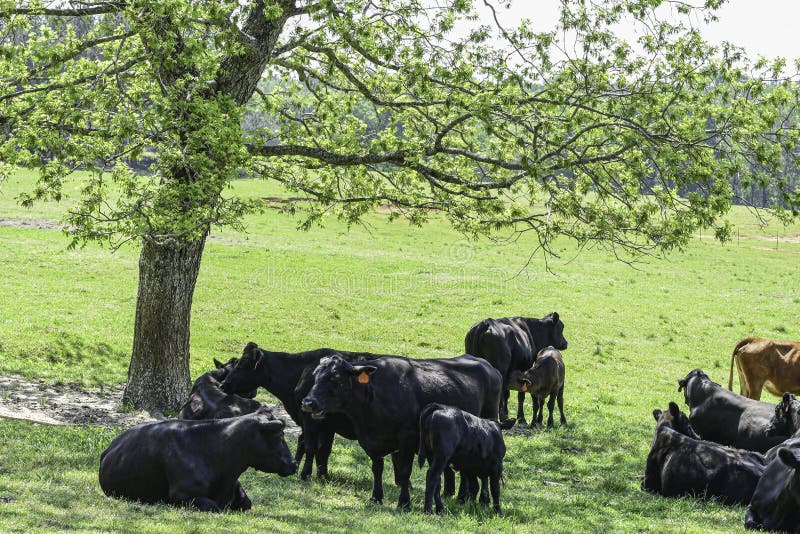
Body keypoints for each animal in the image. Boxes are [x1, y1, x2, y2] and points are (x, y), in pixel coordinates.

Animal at [219, 342, 387, 481]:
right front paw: (321, 475)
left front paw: (305, 474)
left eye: (241, 366)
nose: (223, 385)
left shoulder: (311, 419)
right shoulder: (324, 423)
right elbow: (320, 449)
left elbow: (311, 447)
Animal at [300, 353, 503, 510]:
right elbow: (377, 468)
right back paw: (463, 498)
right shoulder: (371, 441)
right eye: (315, 376)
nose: (308, 403)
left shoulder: (407, 438)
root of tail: (488, 366)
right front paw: (376, 497)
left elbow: (404, 471)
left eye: (335, 378)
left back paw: (483, 499)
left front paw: (404, 503)